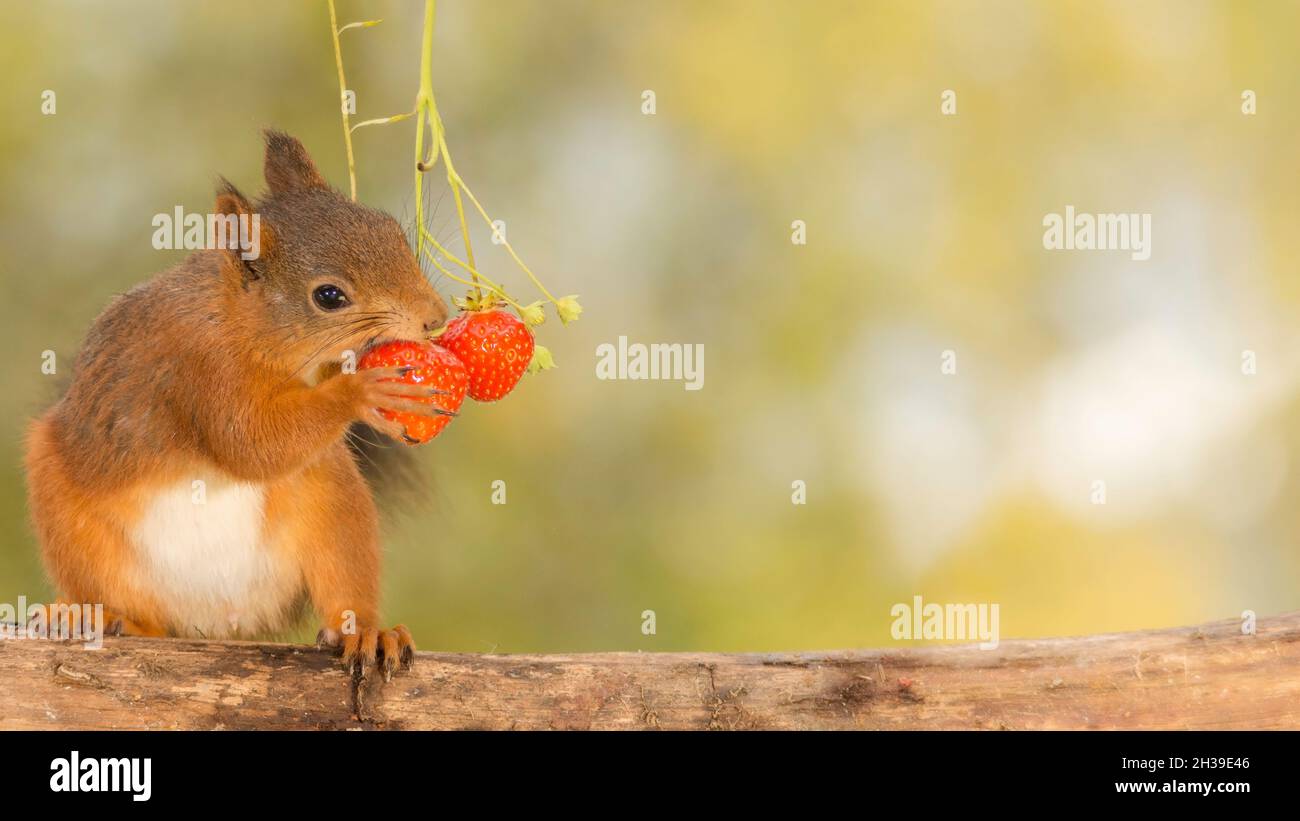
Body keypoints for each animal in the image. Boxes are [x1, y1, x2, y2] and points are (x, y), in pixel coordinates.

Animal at [24, 130, 449, 683]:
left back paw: (367, 632)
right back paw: (91, 615)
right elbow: (248, 445)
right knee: (144, 619)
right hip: (73, 525)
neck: (240, 322)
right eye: (329, 296)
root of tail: (221, 619)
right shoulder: (200, 373)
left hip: (332, 498)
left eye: (392, 230)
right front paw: (362, 392)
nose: (436, 319)